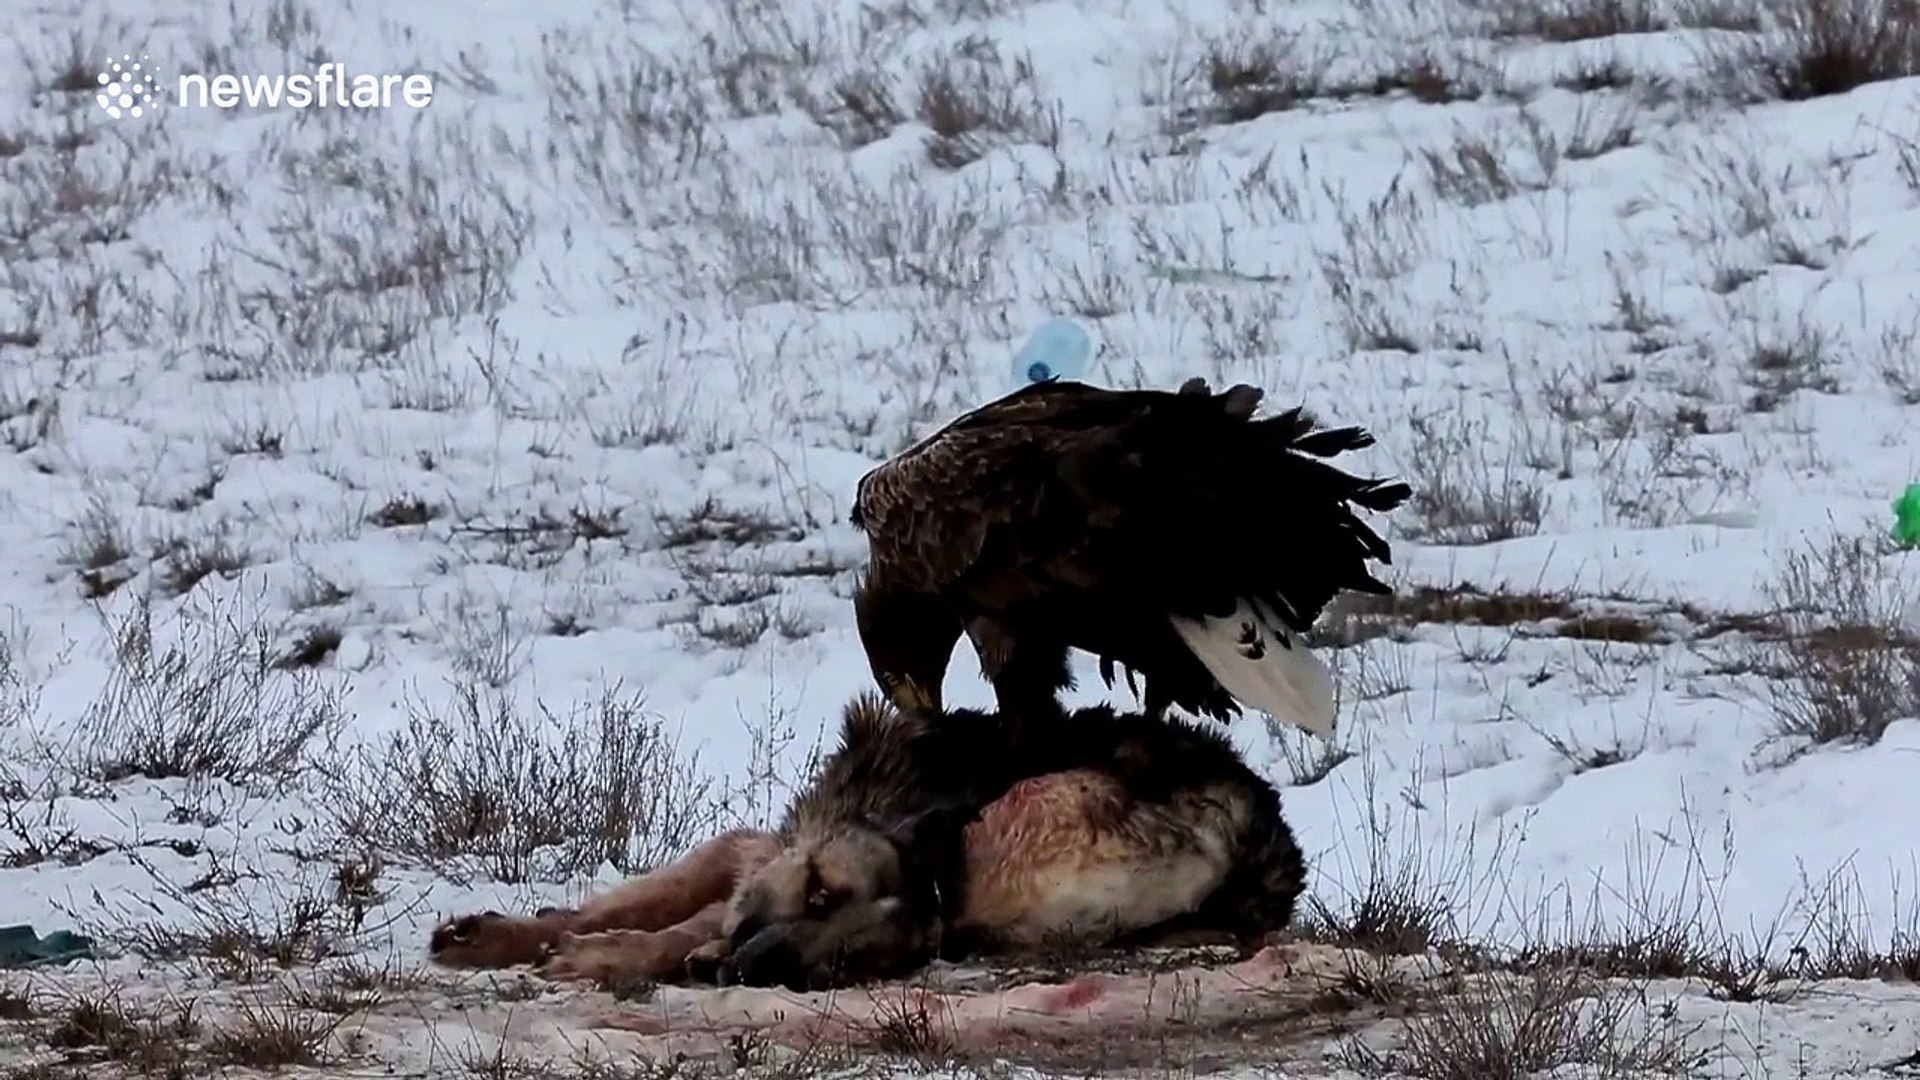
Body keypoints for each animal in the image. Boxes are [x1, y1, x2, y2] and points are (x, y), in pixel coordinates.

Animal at [428, 692, 1305, 991]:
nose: (763, 972)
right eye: (819, 896)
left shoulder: (753, 856)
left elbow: (665, 914)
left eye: (848, 959)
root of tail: (1240, 855)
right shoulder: (763, 860)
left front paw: (571, 949)